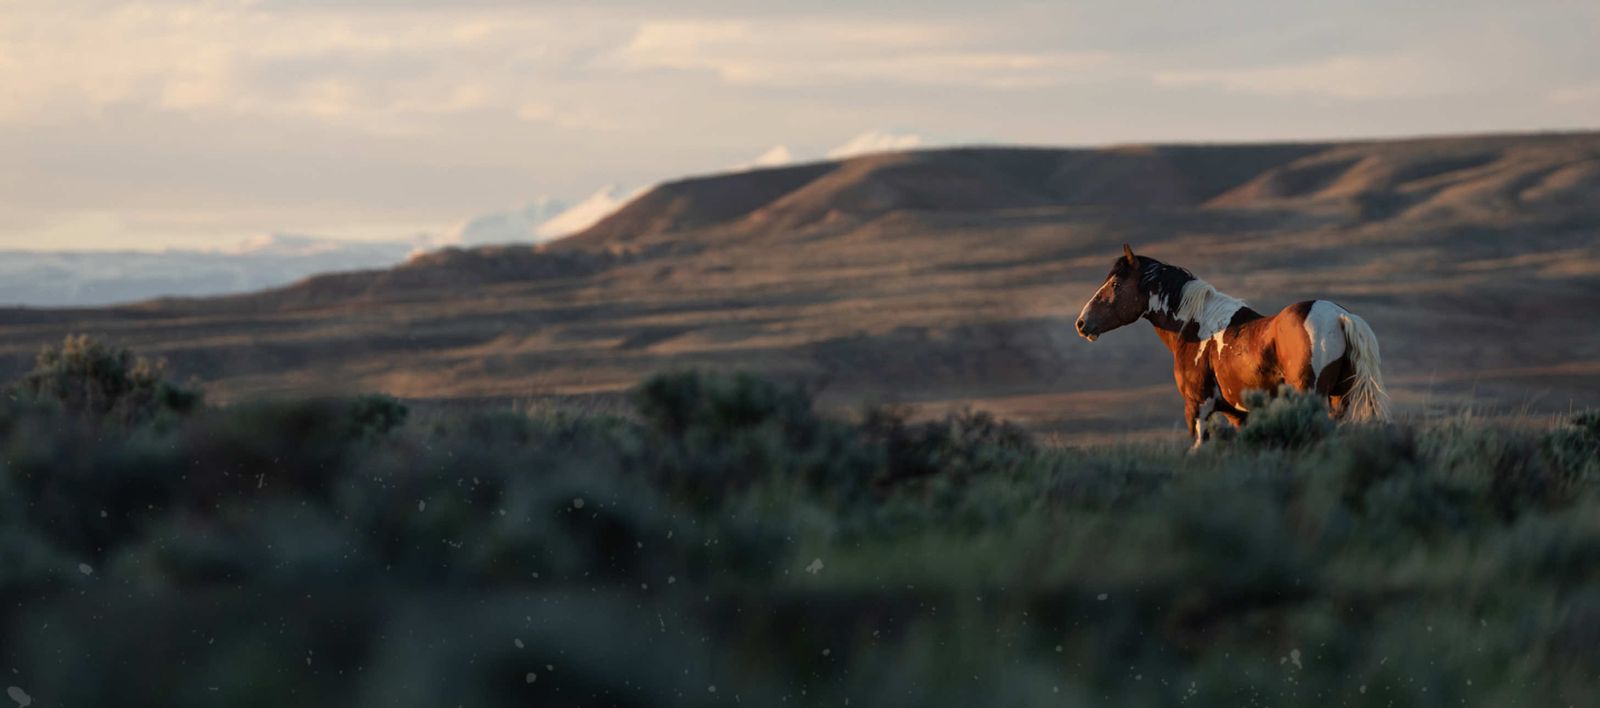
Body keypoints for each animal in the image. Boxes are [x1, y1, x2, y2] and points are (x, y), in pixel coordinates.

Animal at [1075, 244, 1389, 446]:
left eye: (1115, 285)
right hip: (1339, 400)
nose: (1082, 322)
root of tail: (1339, 316)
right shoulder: (1239, 415)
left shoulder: (1197, 407)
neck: (1195, 324)